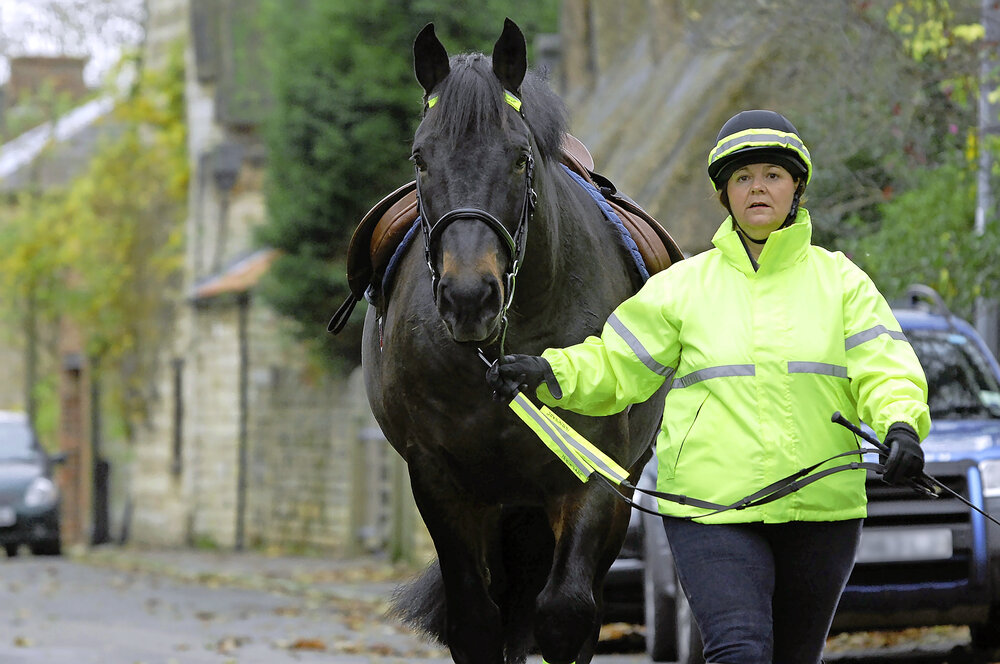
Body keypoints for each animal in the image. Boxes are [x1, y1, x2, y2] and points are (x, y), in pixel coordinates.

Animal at [361, 19, 671, 664]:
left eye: (520, 157)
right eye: (420, 157)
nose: (467, 297)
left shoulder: (593, 475)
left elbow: (565, 615)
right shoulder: (440, 478)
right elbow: (476, 622)